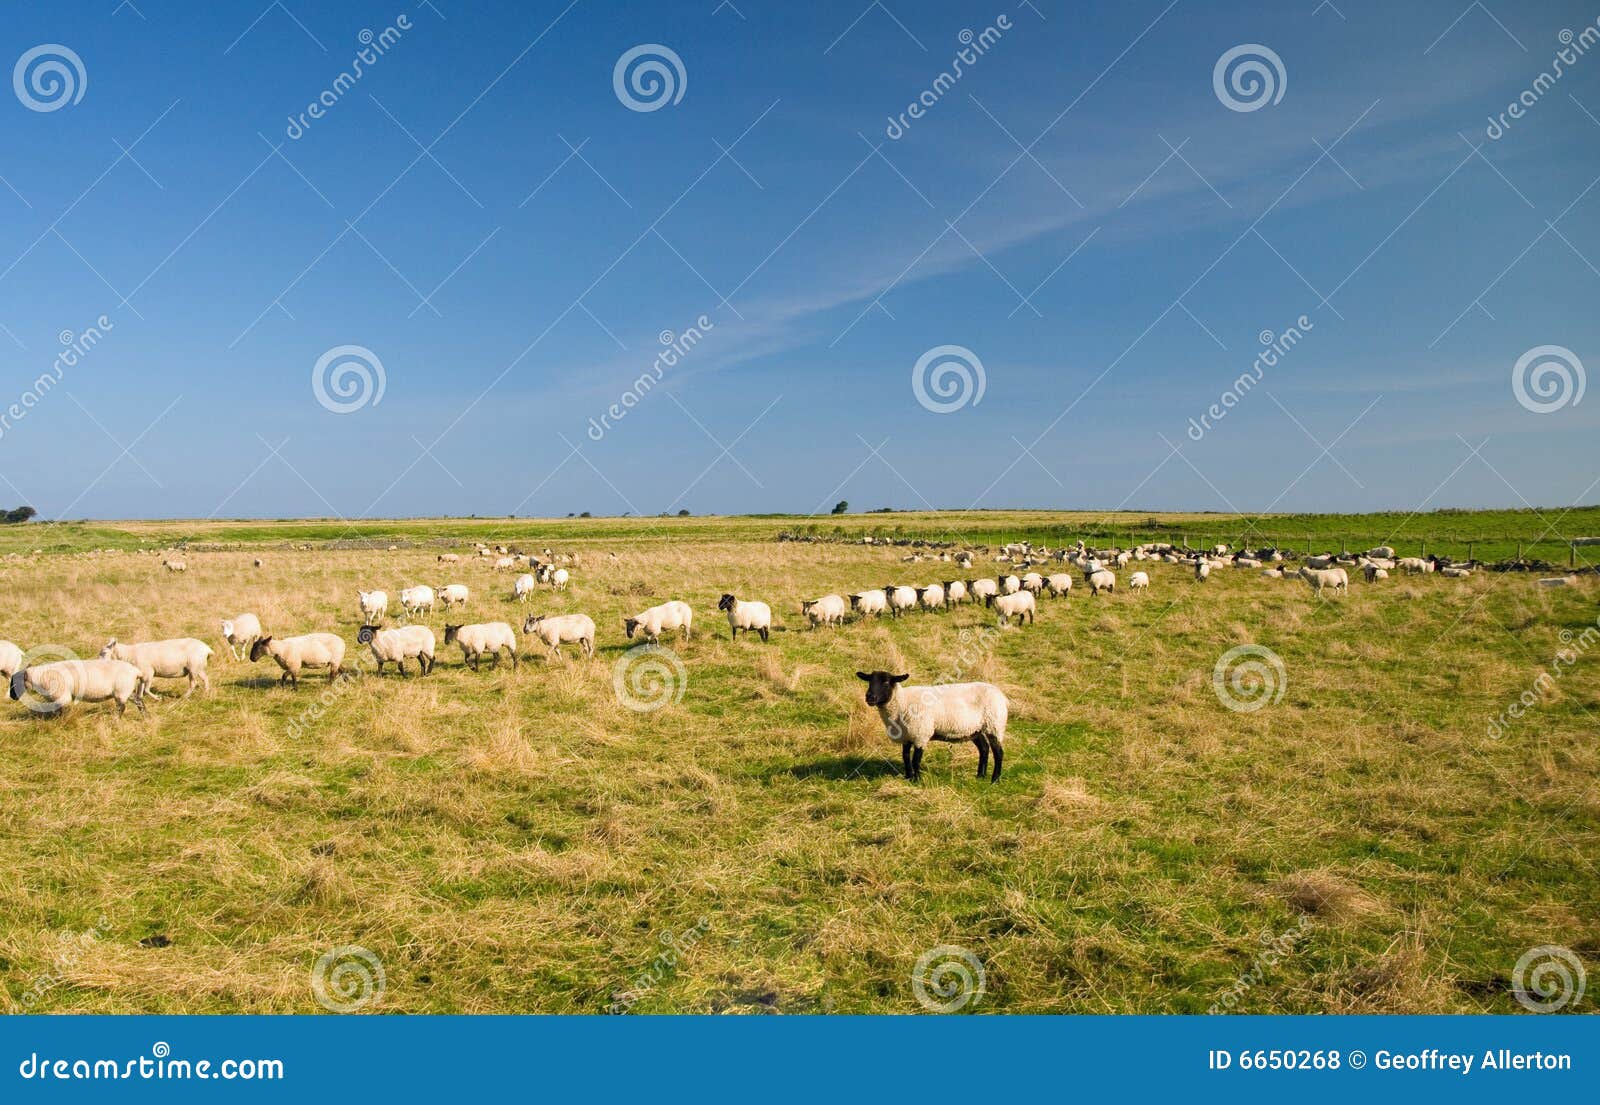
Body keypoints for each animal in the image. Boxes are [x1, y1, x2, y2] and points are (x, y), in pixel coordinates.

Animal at [10, 658, 145, 716]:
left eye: (15, 684)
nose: (12, 697)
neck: (40, 676)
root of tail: (136, 671)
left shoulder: (62, 697)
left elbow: (61, 710)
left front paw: (60, 721)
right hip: (127, 690)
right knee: (139, 702)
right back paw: (145, 718)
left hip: (121, 691)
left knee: (122, 707)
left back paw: (116, 719)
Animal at [856, 670, 1008, 783]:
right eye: (869, 681)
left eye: (886, 683)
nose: (870, 697)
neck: (902, 703)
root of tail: (1001, 695)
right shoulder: (906, 735)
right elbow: (905, 756)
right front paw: (908, 777)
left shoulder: (920, 734)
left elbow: (915, 759)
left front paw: (916, 780)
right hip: (976, 729)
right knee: (984, 749)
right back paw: (980, 776)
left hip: (994, 725)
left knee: (998, 752)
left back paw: (995, 779)